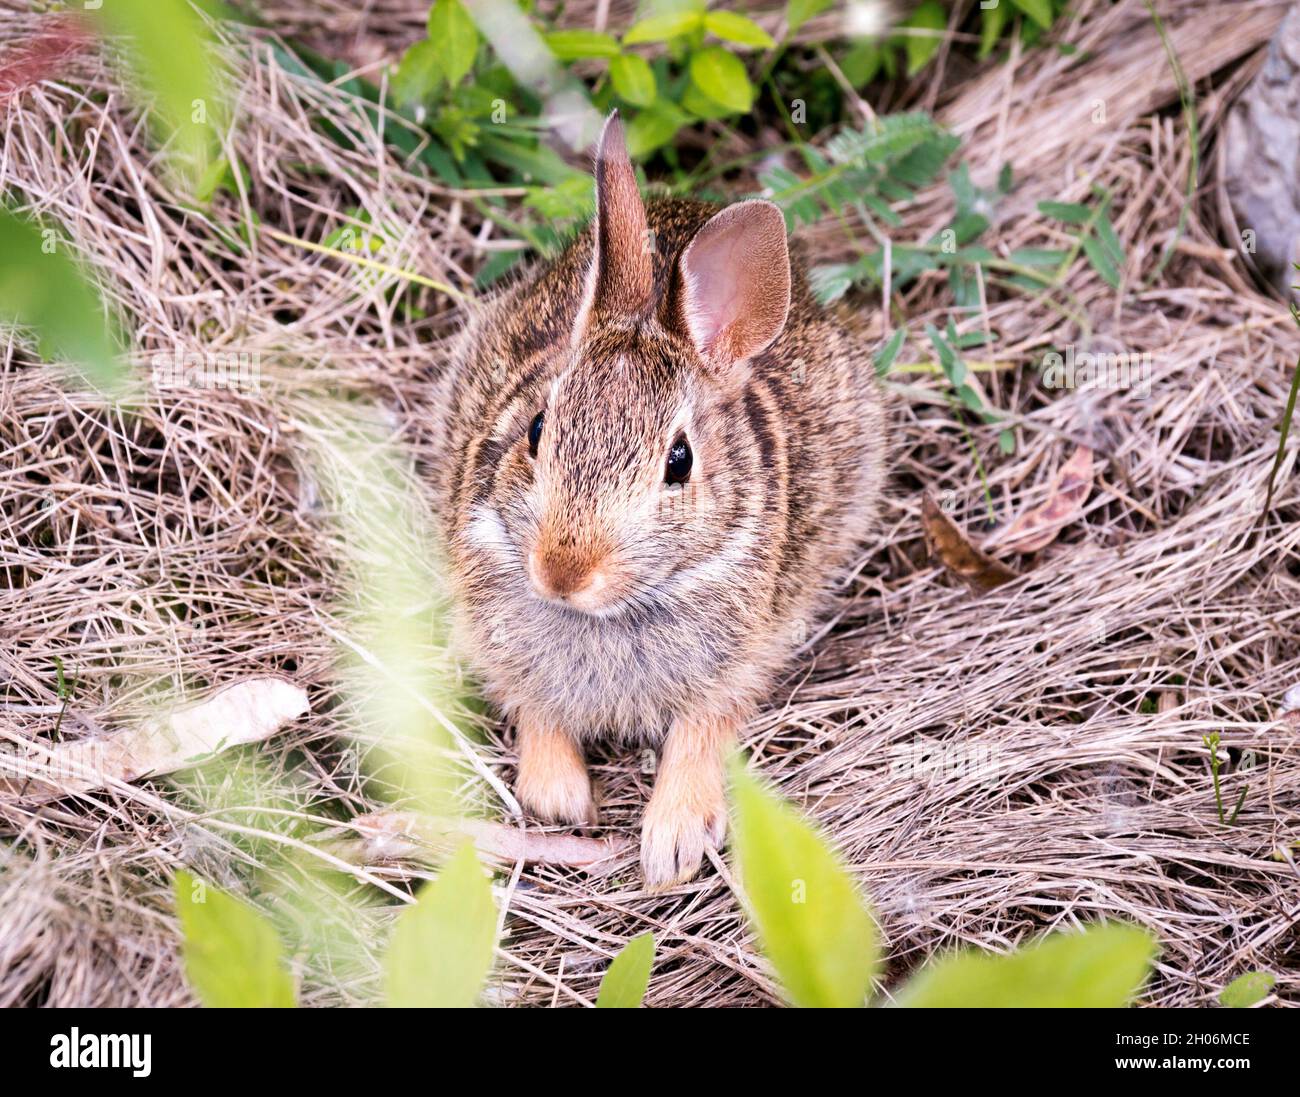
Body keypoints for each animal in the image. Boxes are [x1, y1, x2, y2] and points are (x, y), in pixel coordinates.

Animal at [430, 111, 888, 889]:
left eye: (680, 462)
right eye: (537, 428)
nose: (561, 572)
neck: (611, 611)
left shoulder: (741, 655)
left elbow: (703, 731)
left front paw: (673, 842)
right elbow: (535, 705)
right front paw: (559, 799)